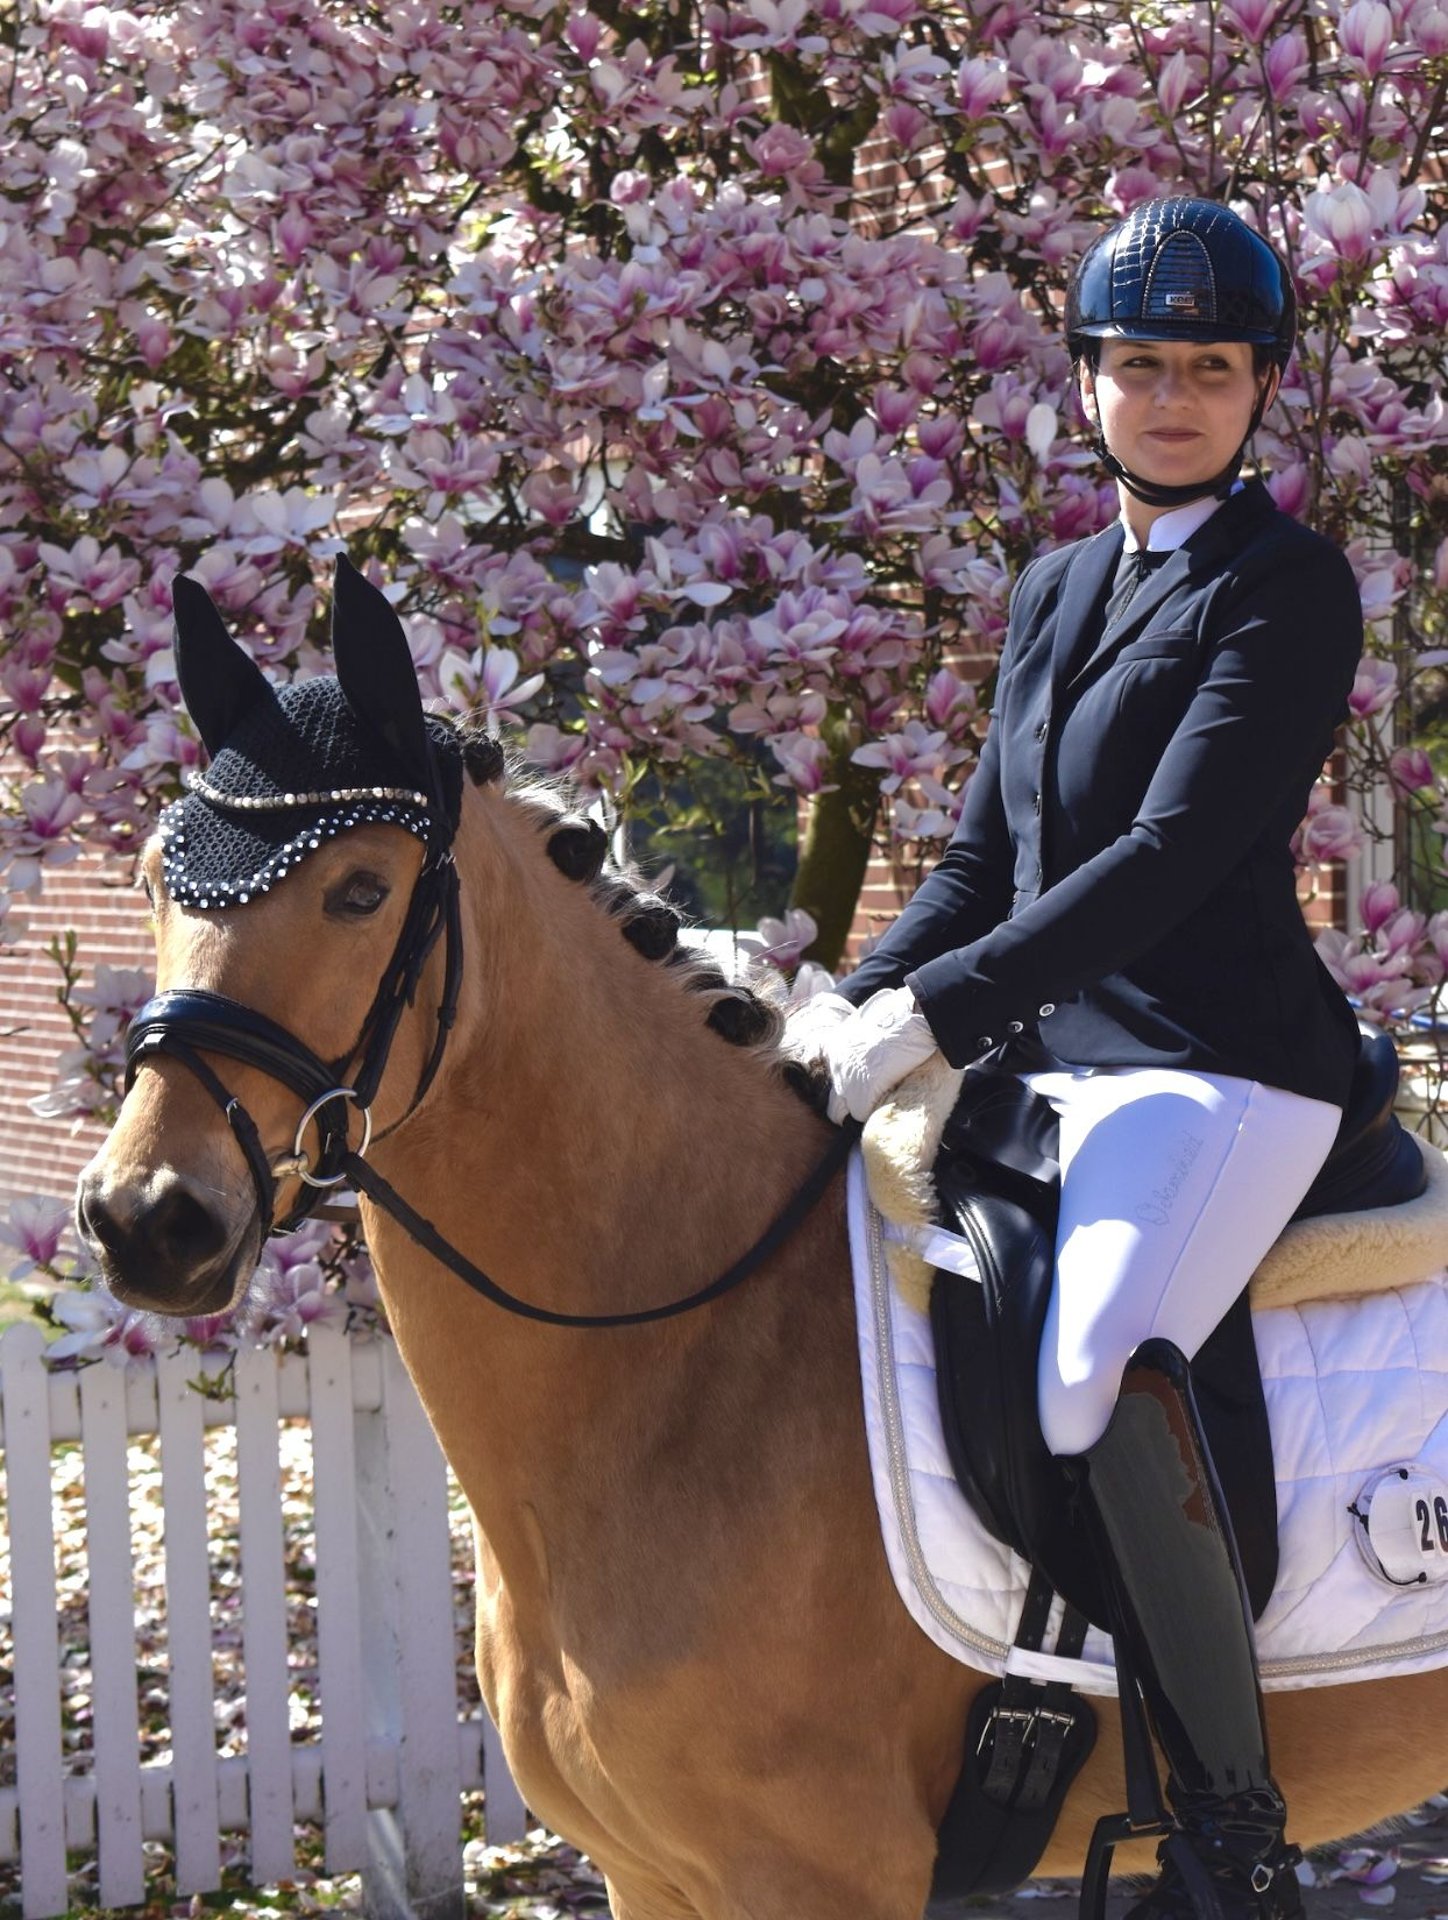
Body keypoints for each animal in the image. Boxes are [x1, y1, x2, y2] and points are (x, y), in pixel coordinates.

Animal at [76, 563, 1448, 1920]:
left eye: (360, 891)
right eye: (147, 879)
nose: (146, 1219)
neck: (693, 1348)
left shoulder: (816, 1879)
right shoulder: (646, 1876)